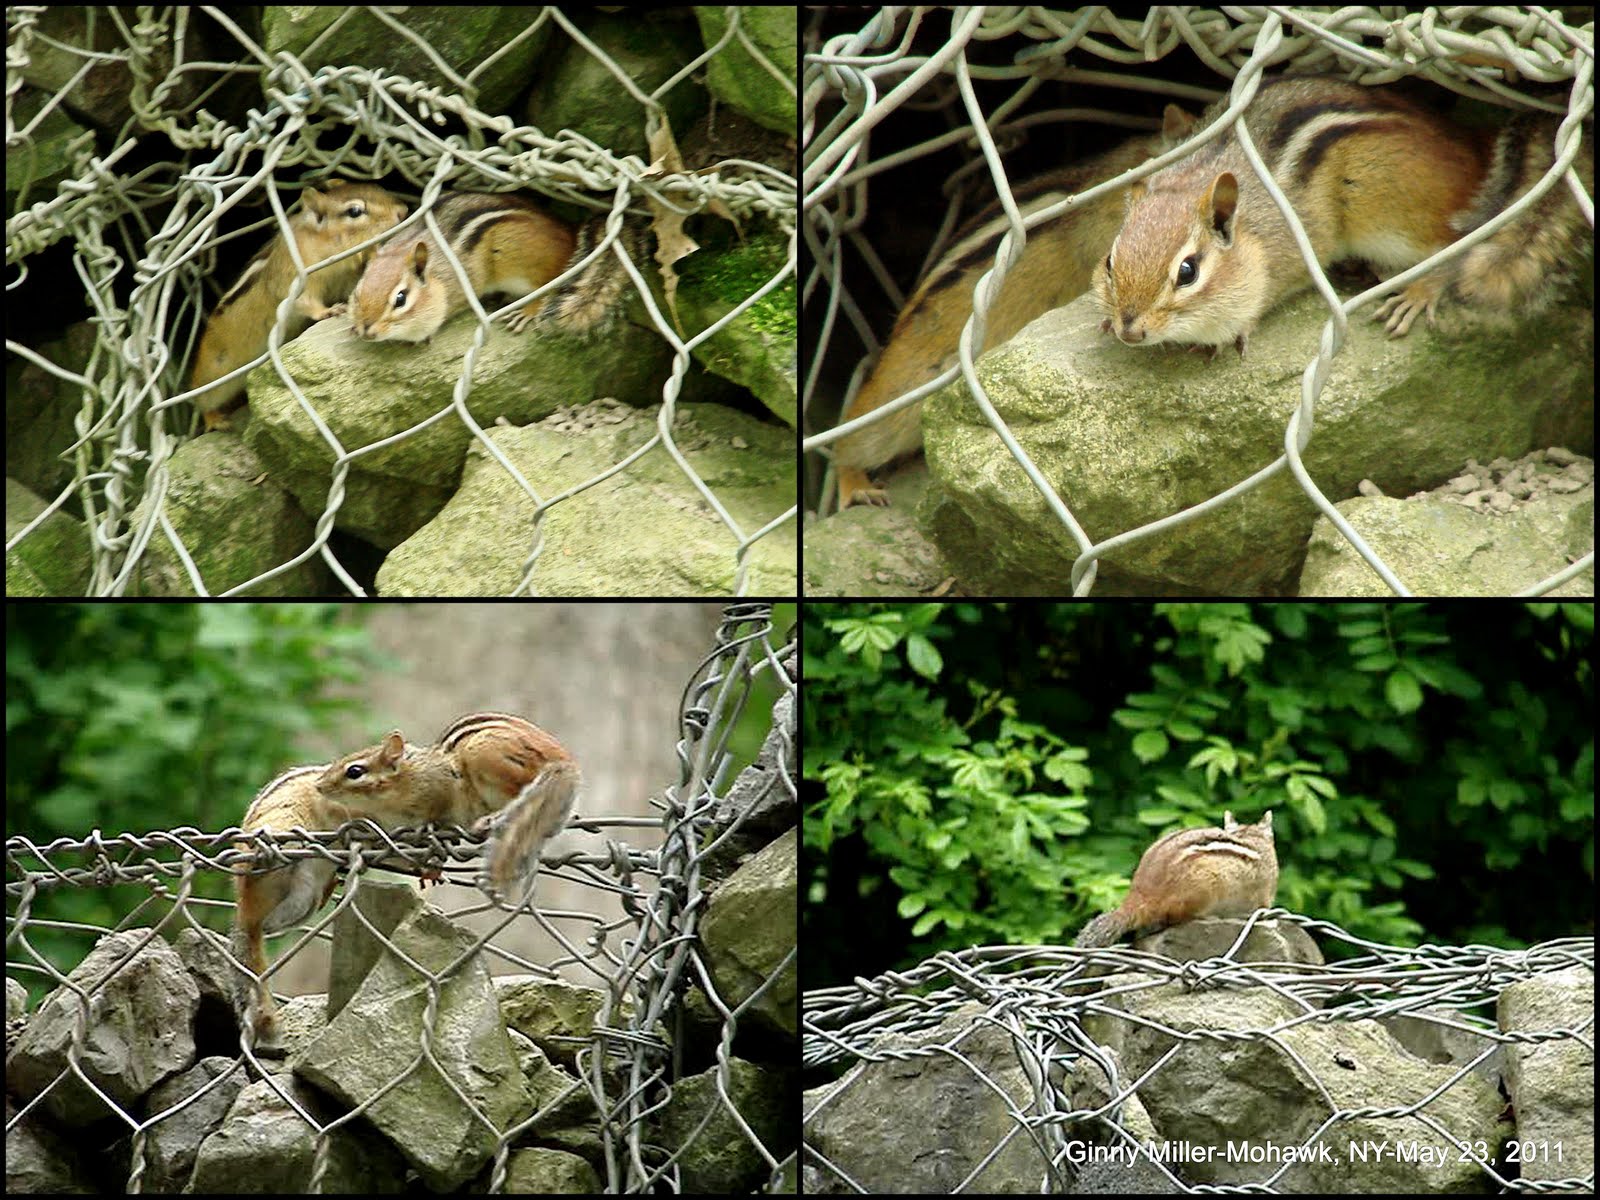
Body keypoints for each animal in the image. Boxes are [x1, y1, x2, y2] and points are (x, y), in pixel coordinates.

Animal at [189, 180, 409, 430]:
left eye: (377, 187)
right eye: (354, 211)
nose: (403, 211)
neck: (324, 244)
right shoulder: (296, 279)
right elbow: (305, 303)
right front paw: (328, 310)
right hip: (215, 374)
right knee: (203, 399)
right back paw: (215, 419)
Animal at [349, 192, 633, 343]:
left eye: (400, 299)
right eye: (357, 293)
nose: (367, 331)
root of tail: (572, 231)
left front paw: (423, 336)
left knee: (550, 286)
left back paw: (526, 311)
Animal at [1093, 75, 1595, 356]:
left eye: (1188, 272)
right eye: (1110, 262)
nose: (1130, 331)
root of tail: (1477, 144)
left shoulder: (1297, 253)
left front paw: (1239, 328)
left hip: (1393, 214)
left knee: (1457, 244)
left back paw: (1417, 292)